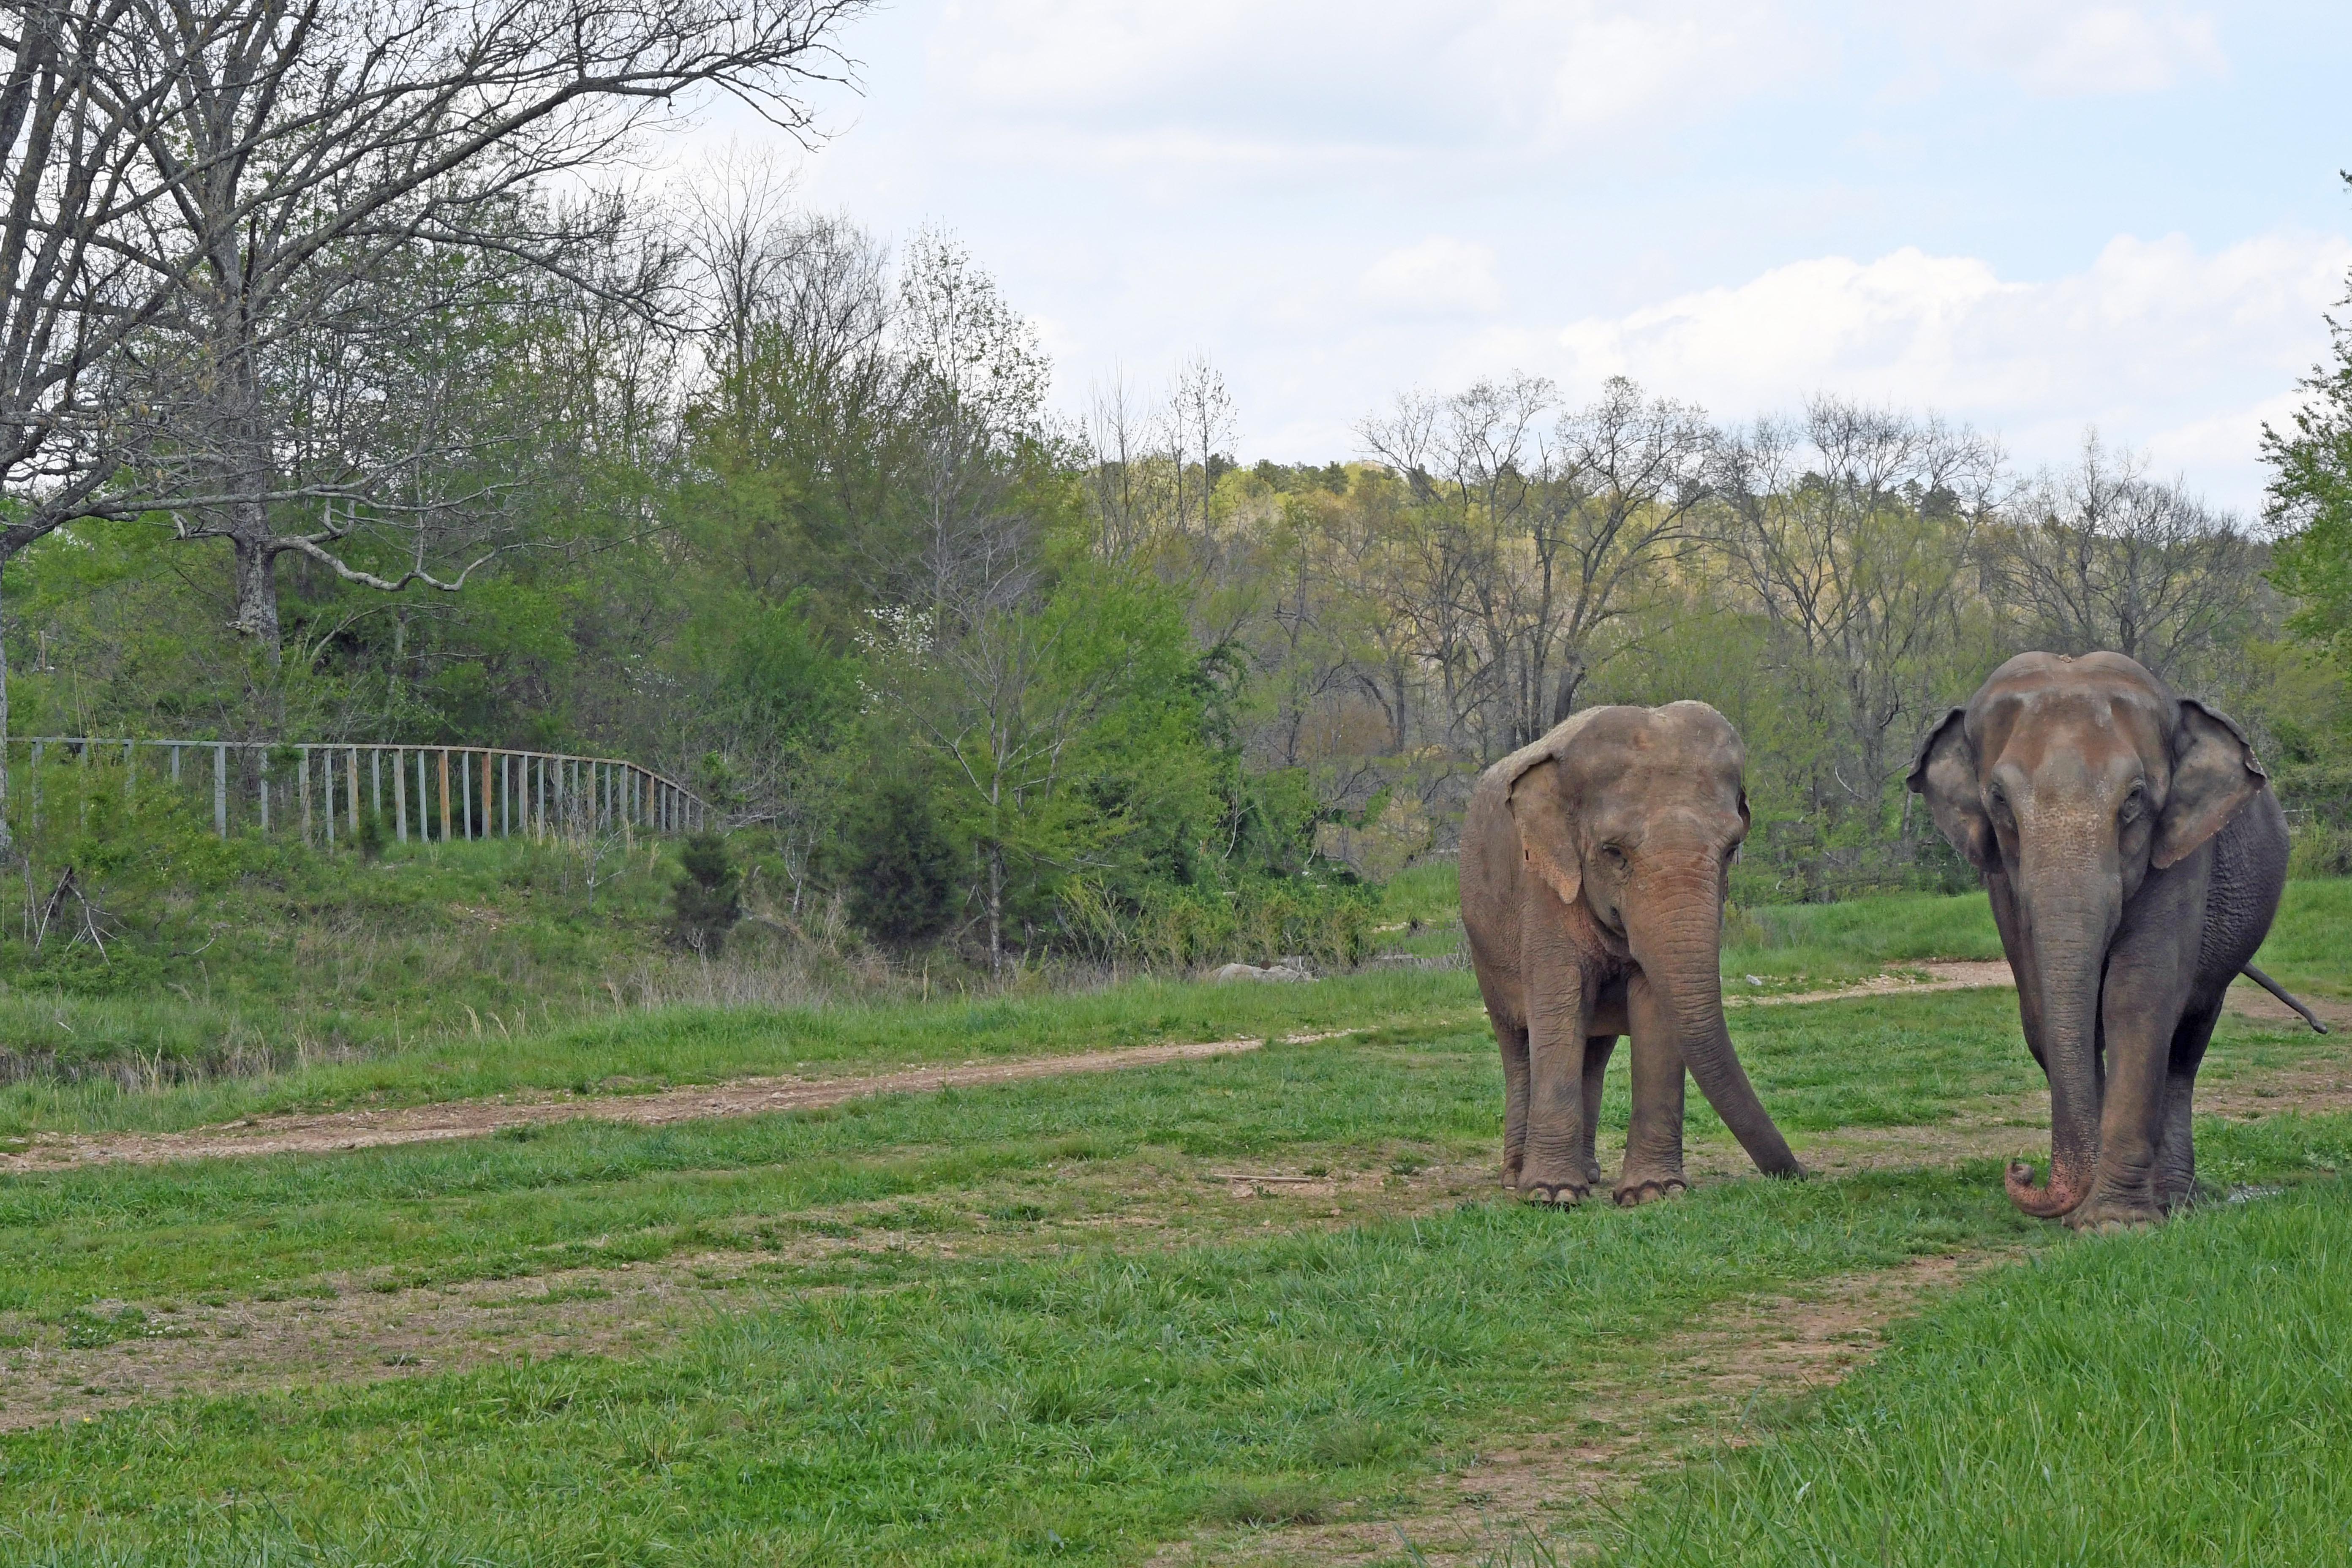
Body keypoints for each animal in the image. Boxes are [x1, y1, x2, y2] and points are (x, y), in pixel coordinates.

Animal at [1461, 701, 1806, 1206]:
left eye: (1731, 850)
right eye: (1613, 853)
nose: (1801, 1174)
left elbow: (1655, 1011)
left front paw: (1653, 1193)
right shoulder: (1543, 886)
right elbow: (1559, 1004)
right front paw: (1551, 1195)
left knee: (1595, 1049)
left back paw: (1589, 1174)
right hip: (1483, 947)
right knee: (1517, 1043)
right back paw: (1516, 1177)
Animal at [1908, 650, 2301, 1229]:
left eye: (2135, 799)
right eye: (1998, 801)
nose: (2020, 1169)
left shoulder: (2183, 851)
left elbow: (2137, 997)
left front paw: (2114, 1224)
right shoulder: (2002, 878)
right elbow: (2043, 1011)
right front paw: (2091, 1213)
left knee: (2187, 1044)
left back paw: (2175, 1200)